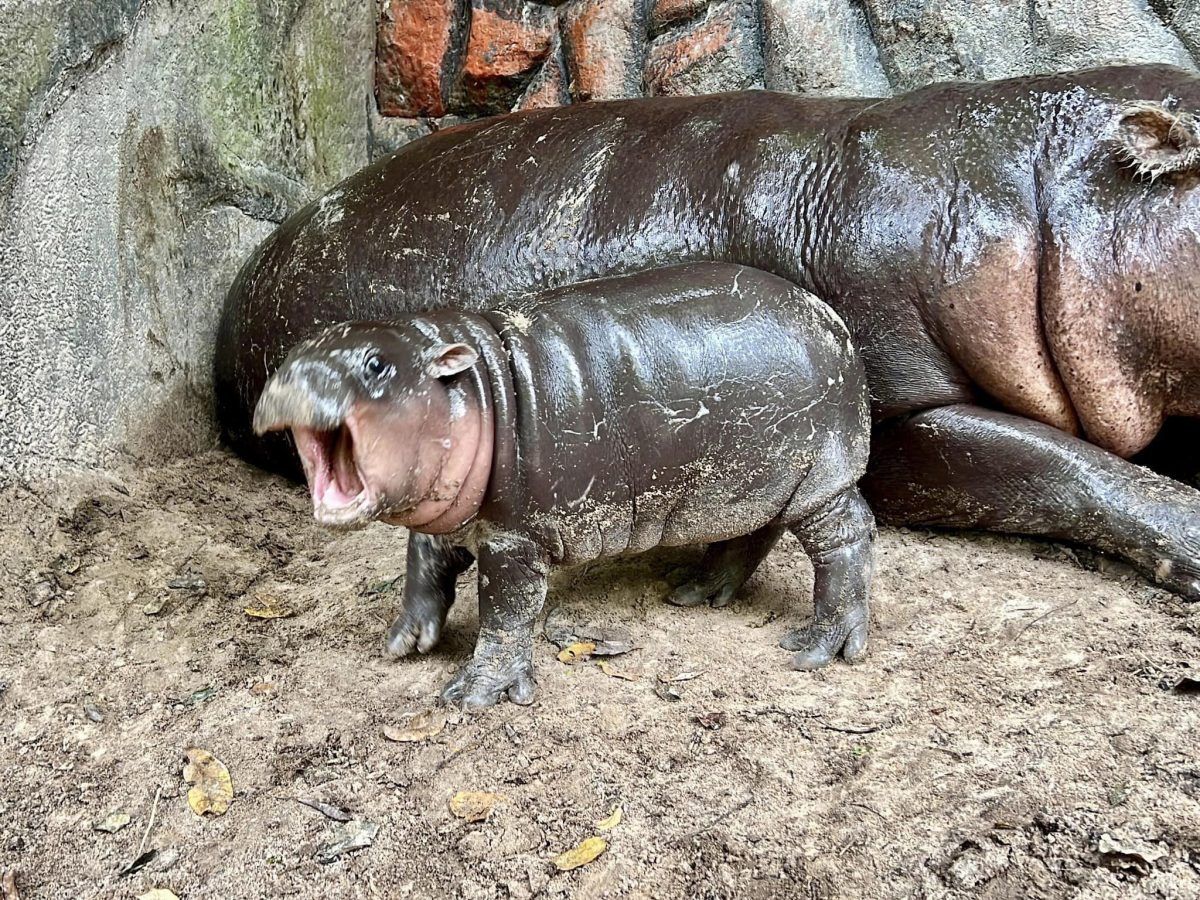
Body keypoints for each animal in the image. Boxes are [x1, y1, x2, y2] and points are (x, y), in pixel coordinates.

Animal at [252, 264, 874, 708]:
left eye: (377, 364)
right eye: (294, 352)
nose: (291, 378)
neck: (479, 390)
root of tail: (834, 320)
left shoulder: (513, 539)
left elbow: (507, 612)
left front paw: (473, 696)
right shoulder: (448, 514)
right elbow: (423, 567)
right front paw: (405, 640)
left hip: (820, 480)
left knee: (847, 537)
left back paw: (818, 648)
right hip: (745, 486)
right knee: (752, 534)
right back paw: (694, 590)